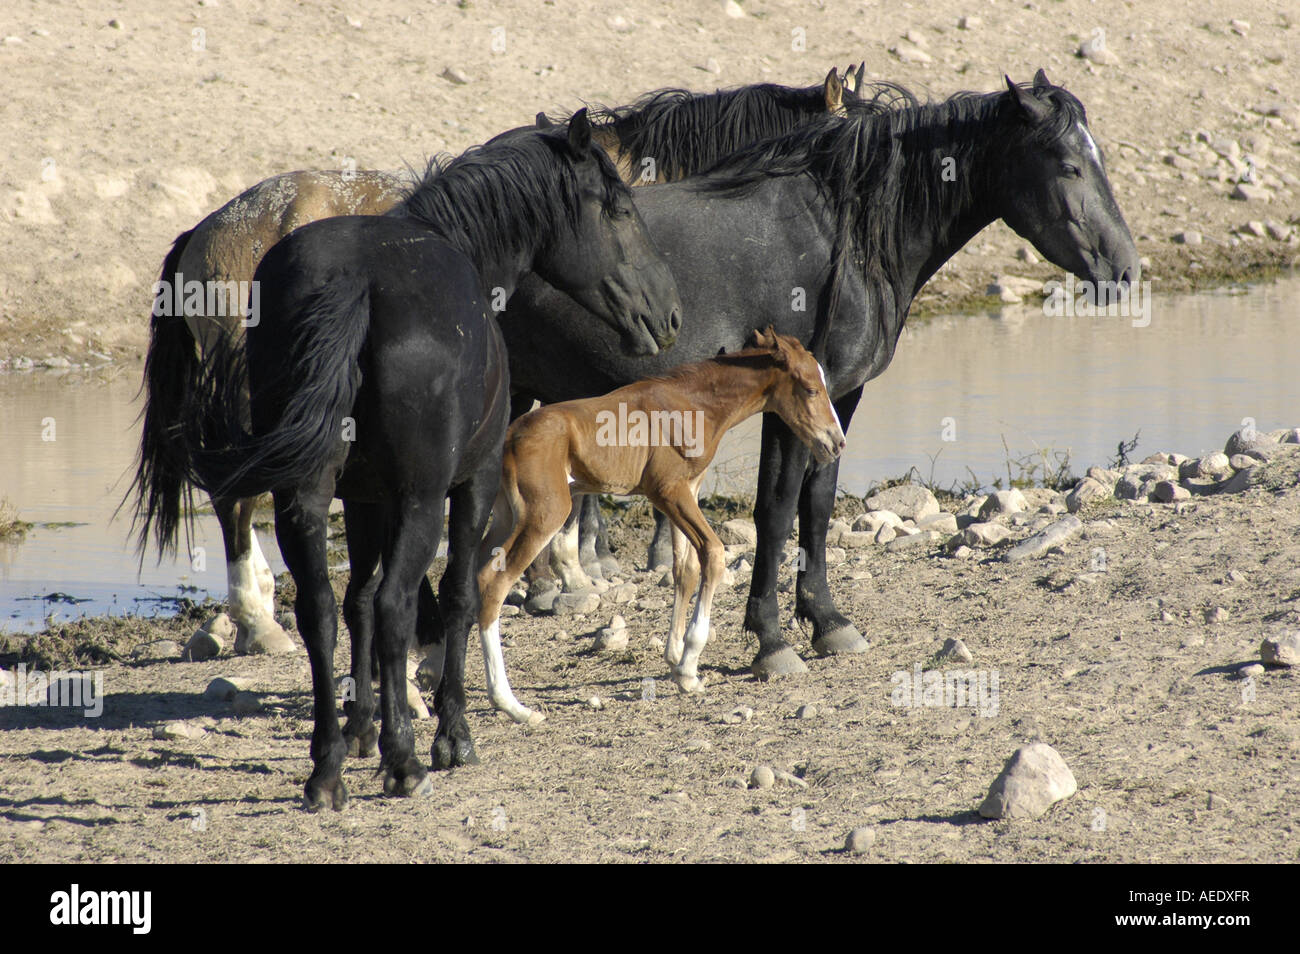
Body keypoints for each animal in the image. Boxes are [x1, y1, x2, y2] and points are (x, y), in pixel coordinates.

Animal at [132, 69, 865, 657]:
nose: (669, 313)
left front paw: (572, 571)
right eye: (620, 213)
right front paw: (568, 574)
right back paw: (260, 624)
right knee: (233, 500)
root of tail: (204, 234)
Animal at [138, 111, 681, 811]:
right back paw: (406, 761)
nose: (669, 313)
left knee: (320, 610)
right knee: (397, 603)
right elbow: (453, 596)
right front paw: (449, 736)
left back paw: (327, 768)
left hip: (305, 500)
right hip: (423, 500)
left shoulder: (365, 500)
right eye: (619, 208)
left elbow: (357, 602)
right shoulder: (468, 487)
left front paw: (363, 727)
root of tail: (355, 285)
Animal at [477, 328, 845, 721]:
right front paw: (688, 668)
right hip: (544, 513)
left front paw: (677, 661)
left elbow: (685, 569)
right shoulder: (668, 491)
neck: (694, 404)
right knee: (496, 582)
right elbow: (713, 553)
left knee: (476, 576)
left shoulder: (688, 491)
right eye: (810, 389)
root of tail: (508, 439)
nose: (837, 442)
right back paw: (512, 705)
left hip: (505, 517)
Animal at [495, 72, 1142, 687]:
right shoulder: (788, 407)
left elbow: (819, 503)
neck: (843, 237)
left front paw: (827, 621)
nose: (1126, 270)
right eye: (1069, 165)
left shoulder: (840, 398)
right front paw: (770, 640)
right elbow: (777, 509)